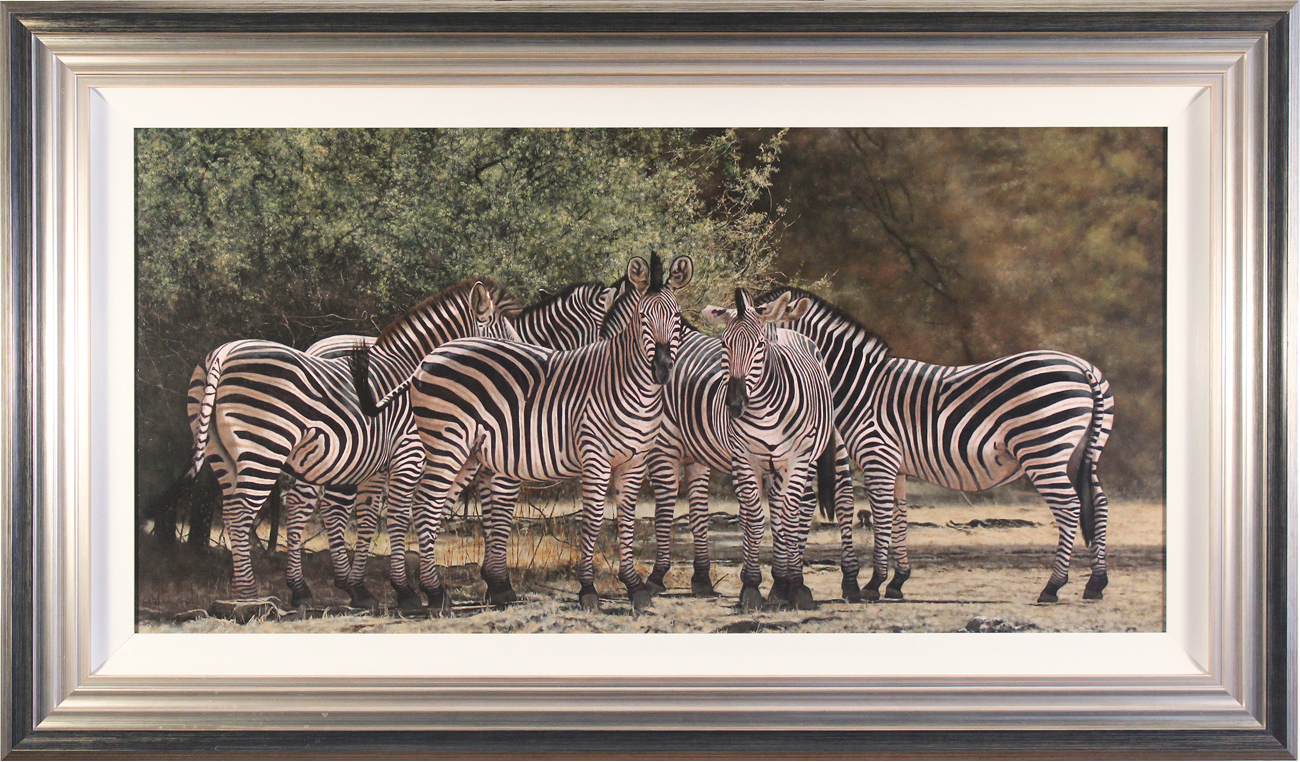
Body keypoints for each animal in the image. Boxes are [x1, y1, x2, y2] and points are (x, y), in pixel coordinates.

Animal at [186, 279, 520, 602]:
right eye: (506, 342)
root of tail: (223, 353)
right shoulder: (410, 454)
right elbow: (399, 516)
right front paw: (408, 591)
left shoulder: (379, 463)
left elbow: (371, 517)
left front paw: (361, 588)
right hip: (264, 447)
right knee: (242, 514)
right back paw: (248, 598)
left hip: (223, 455)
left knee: (239, 511)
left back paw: (278, 591)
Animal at [353, 254, 692, 613]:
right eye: (641, 319)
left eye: (677, 319)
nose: (665, 369)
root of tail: (425, 360)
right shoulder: (541, 459)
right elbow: (522, 516)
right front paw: (520, 586)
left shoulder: (629, 461)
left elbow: (623, 518)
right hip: (438, 449)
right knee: (417, 506)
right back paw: (428, 593)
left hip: (450, 455)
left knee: (417, 508)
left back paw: (414, 590)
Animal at [641, 320, 860, 604]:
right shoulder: (700, 457)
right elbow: (701, 513)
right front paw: (704, 578)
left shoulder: (664, 449)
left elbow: (665, 511)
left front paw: (659, 576)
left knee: (836, 500)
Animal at [701, 289, 839, 611]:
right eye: (724, 344)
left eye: (759, 346)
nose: (735, 405)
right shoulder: (744, 458)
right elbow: (752, 516)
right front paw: (751, 586)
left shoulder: (797, 458)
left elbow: (790, 514)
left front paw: (794, 584)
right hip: (767, 465)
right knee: (771, 506)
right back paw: (778, 582)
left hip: (801, 461)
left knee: (796, 508)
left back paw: (790, 580)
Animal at [758, 287, 1115, 603]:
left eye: (759, 318)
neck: (860, 385)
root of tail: (1084, 367)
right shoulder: (896, 464)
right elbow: (900, 516)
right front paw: (897, 582)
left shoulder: (878, 455)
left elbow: (882, 517)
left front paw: (873, 584)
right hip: (1082, 453)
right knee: (1098, 502)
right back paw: (1096, 584)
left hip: (1044, 451)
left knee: (1070, 507)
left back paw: (1052, 587)